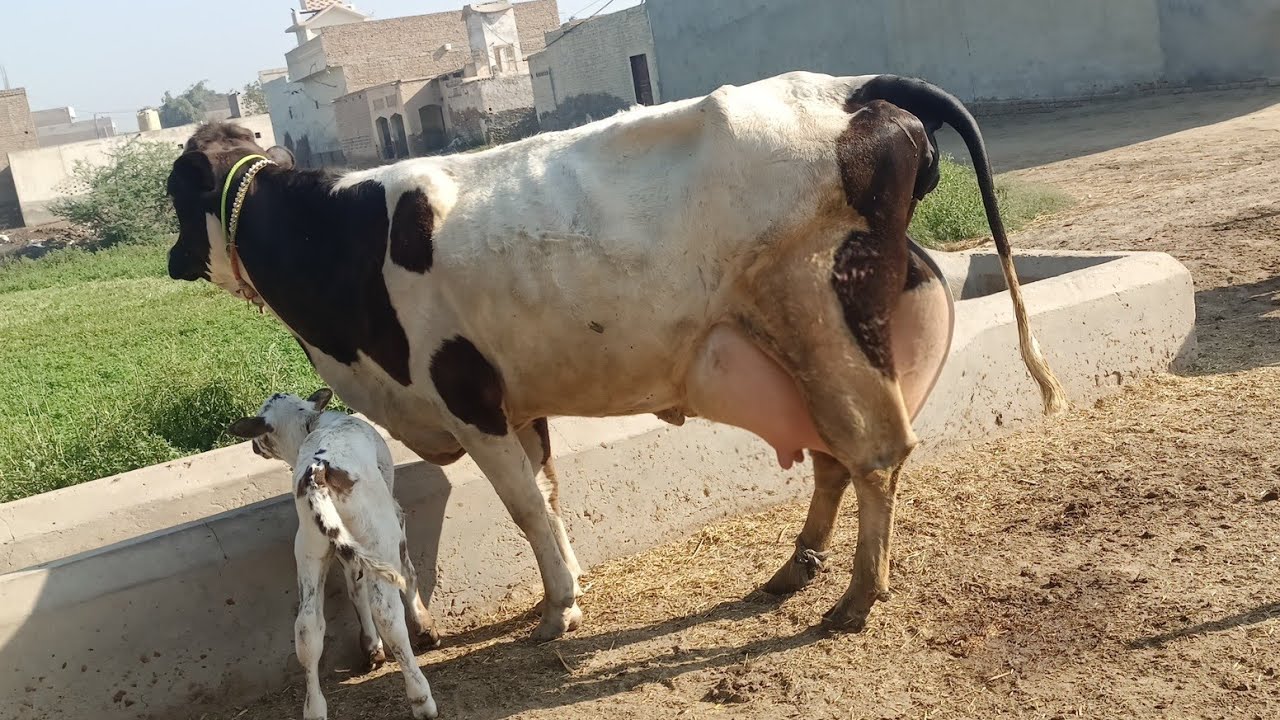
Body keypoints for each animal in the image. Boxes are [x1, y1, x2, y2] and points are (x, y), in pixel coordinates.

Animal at [165, 71, 1066, 644]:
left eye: (176, 190)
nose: (172, 257)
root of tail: (855, 88)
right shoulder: (522, 403)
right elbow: (552, 500)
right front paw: (563, 587)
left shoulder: (469, 396)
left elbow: (526, 508)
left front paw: (559, 611)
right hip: (798, 344)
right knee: (833, 457)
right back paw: (793, 570)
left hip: (826, 318)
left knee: (874, 452)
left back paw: (855, 596)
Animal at [227, 389, 439, 720]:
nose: (252, 445)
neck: (312, 424)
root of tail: (319, 471)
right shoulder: (394, 519)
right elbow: (407, 573)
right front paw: (425, 627)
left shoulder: (342, 547)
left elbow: (354, 588)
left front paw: (371, 648)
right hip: (379, 535)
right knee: (388, 613)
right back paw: (421, 698)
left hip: (309, 548)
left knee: (308, 628)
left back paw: (314, 708)